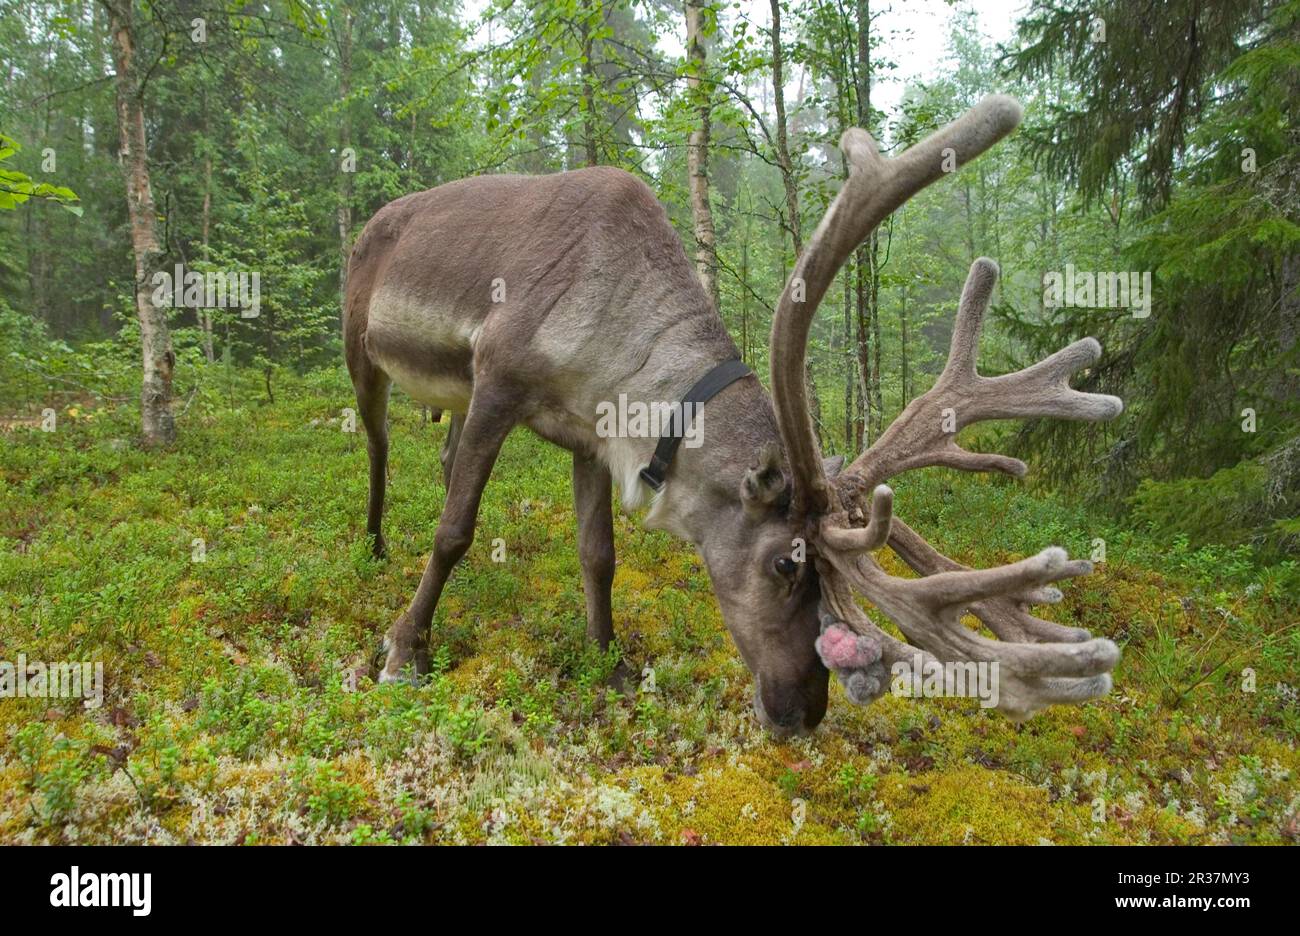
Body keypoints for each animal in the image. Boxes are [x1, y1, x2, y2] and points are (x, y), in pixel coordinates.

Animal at [343, 94, 1123, 737]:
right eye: (785, 563)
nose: (804, 714)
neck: (616, 345)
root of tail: (375, 218)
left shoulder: (588, 435)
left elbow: (598, 555)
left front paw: (611, 662)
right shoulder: (500, 380)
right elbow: (454, 531)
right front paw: (404, 649)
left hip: (454, 393)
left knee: (444, 457)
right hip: (363, 346)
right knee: (378, 445)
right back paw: (374, 543)